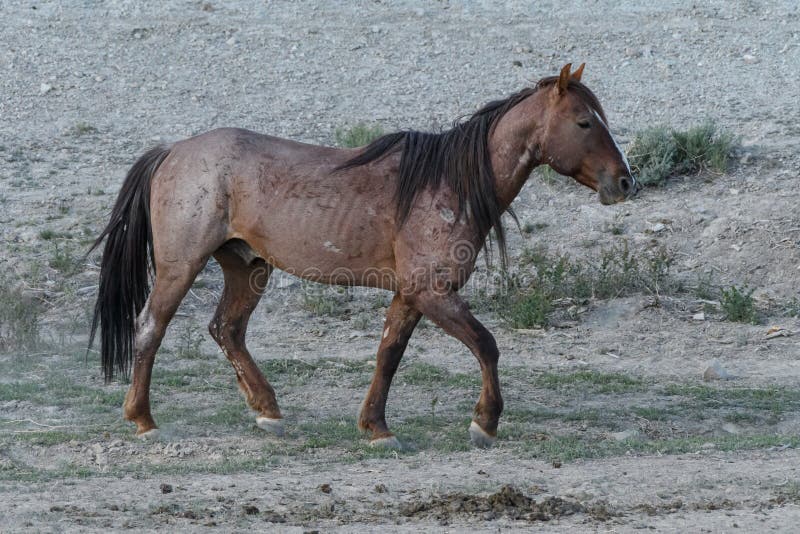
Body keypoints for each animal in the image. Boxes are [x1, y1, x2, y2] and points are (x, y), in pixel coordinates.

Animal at [89, 63, 637, 448]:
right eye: (584, 122)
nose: (625, 181)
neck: (448, 184)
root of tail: (173, 151)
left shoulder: (411, 296)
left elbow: (388, 355)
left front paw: (376, 427)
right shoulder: (433, 293)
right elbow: (487, 345)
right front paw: (484, 422)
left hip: (246, 267)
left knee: (227, 330)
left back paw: (268, 411)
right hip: (181, 266)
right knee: (150, 327)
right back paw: (144, 419)